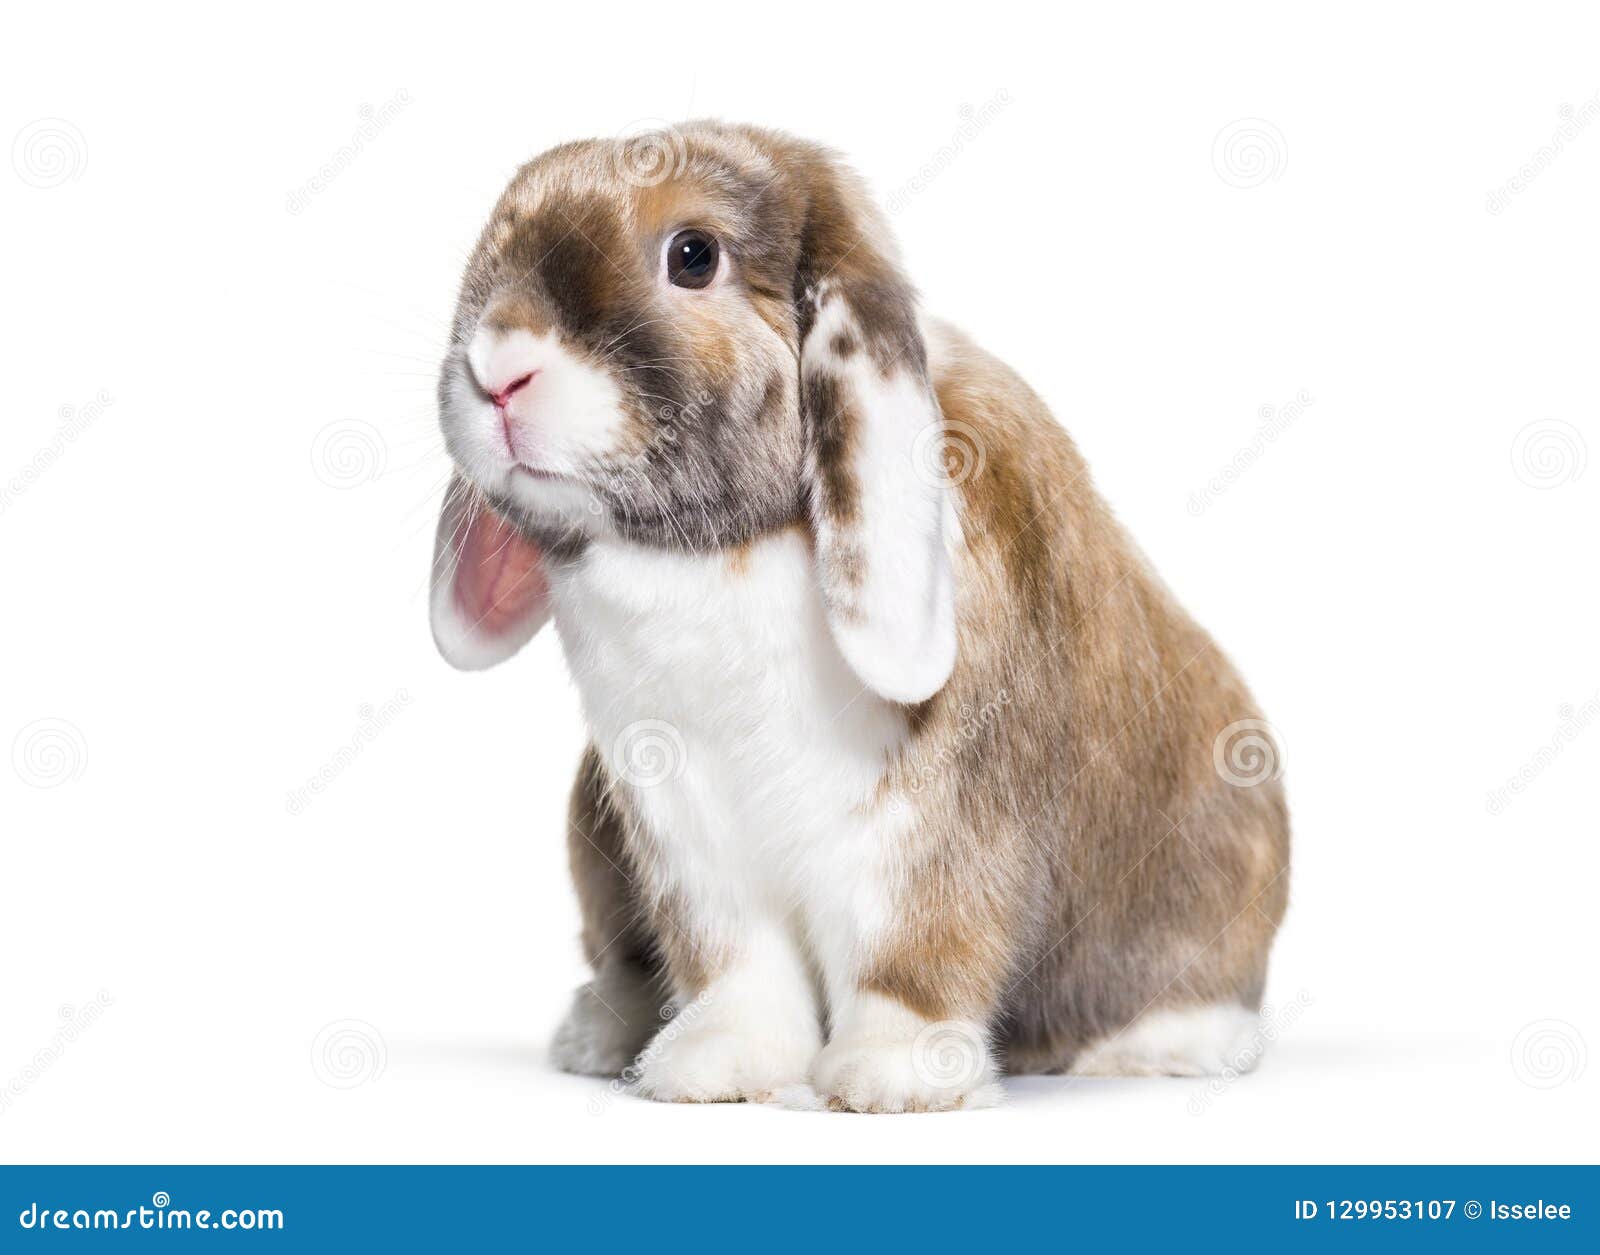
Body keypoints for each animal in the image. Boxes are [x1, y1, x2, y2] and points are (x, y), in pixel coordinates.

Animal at [428, 121, 1290, 1112]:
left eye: (694, 255)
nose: (497, 368)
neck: (719, 552)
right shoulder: (689, 834)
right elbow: (737, 966)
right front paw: (718, 1064)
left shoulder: (927, 828)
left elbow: (909, 944)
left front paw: (893, 1077)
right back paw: (603, 1033)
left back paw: (1164, 1045)